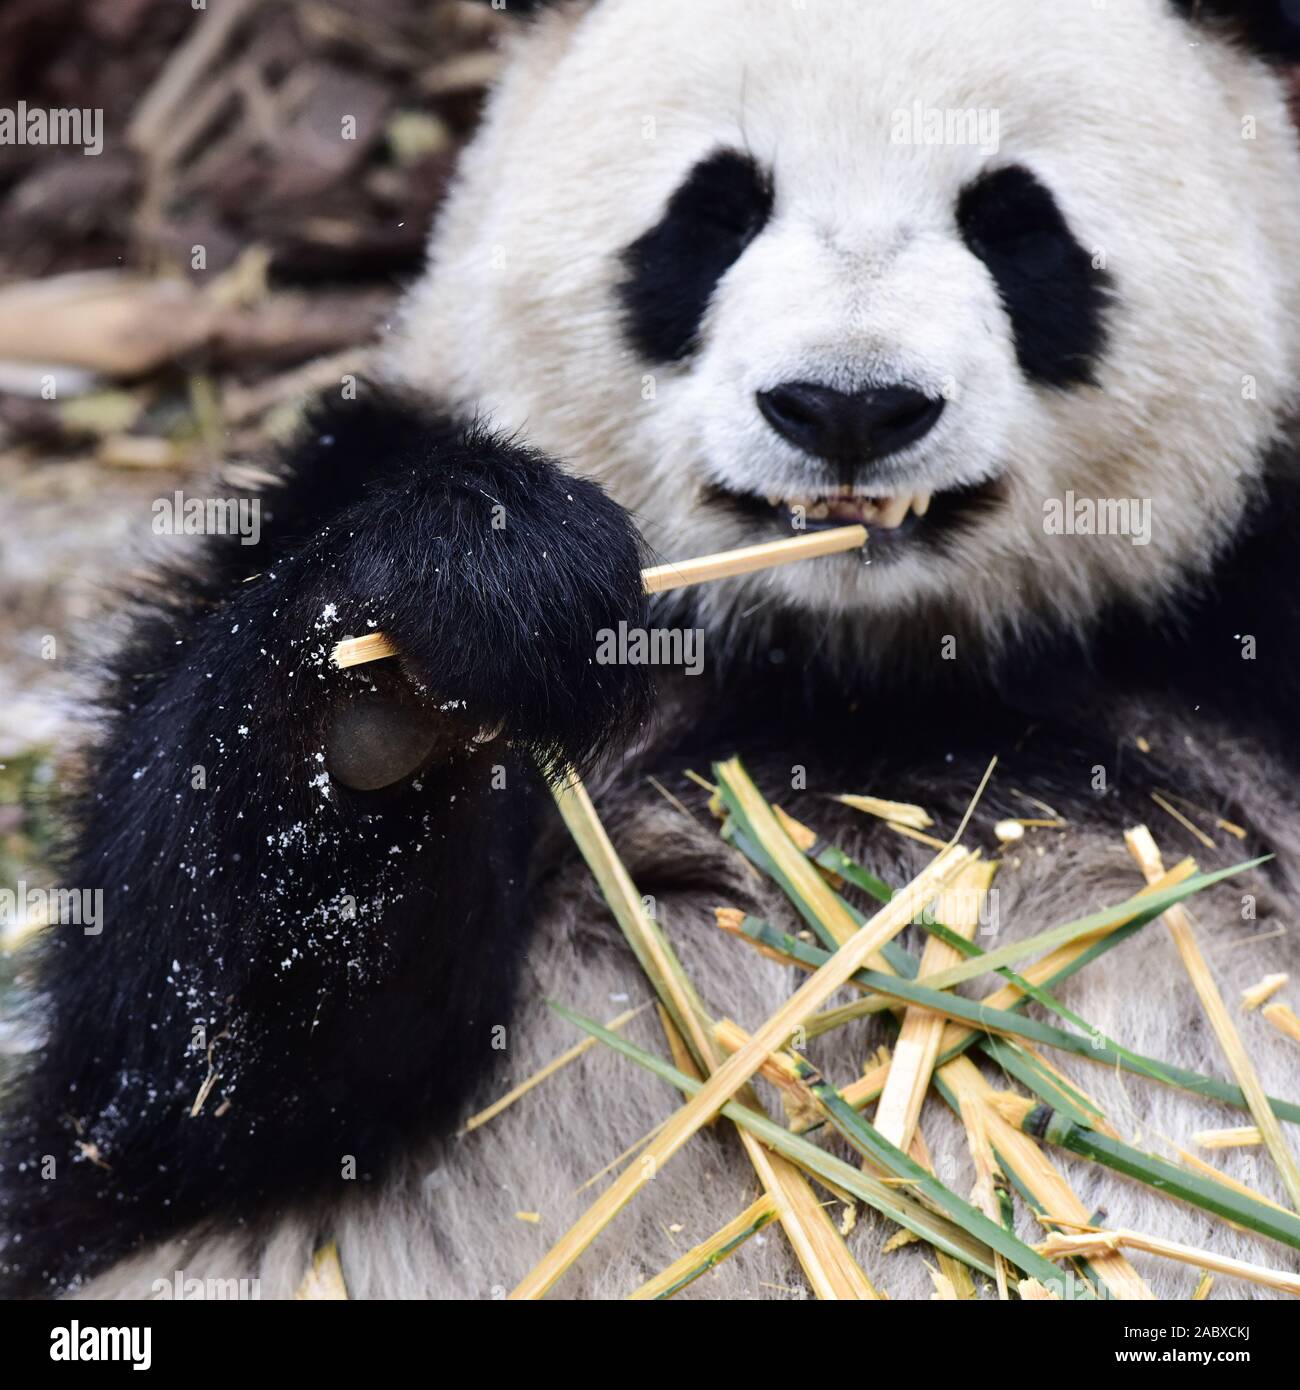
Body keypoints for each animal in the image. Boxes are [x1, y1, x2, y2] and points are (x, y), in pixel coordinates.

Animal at [3, 0, 1300, 1301]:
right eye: (715, 210)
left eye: (1014, 221)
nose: (846, 406)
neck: (858, 668)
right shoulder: (342, 485)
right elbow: (188, 1069)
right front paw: (441, 635)